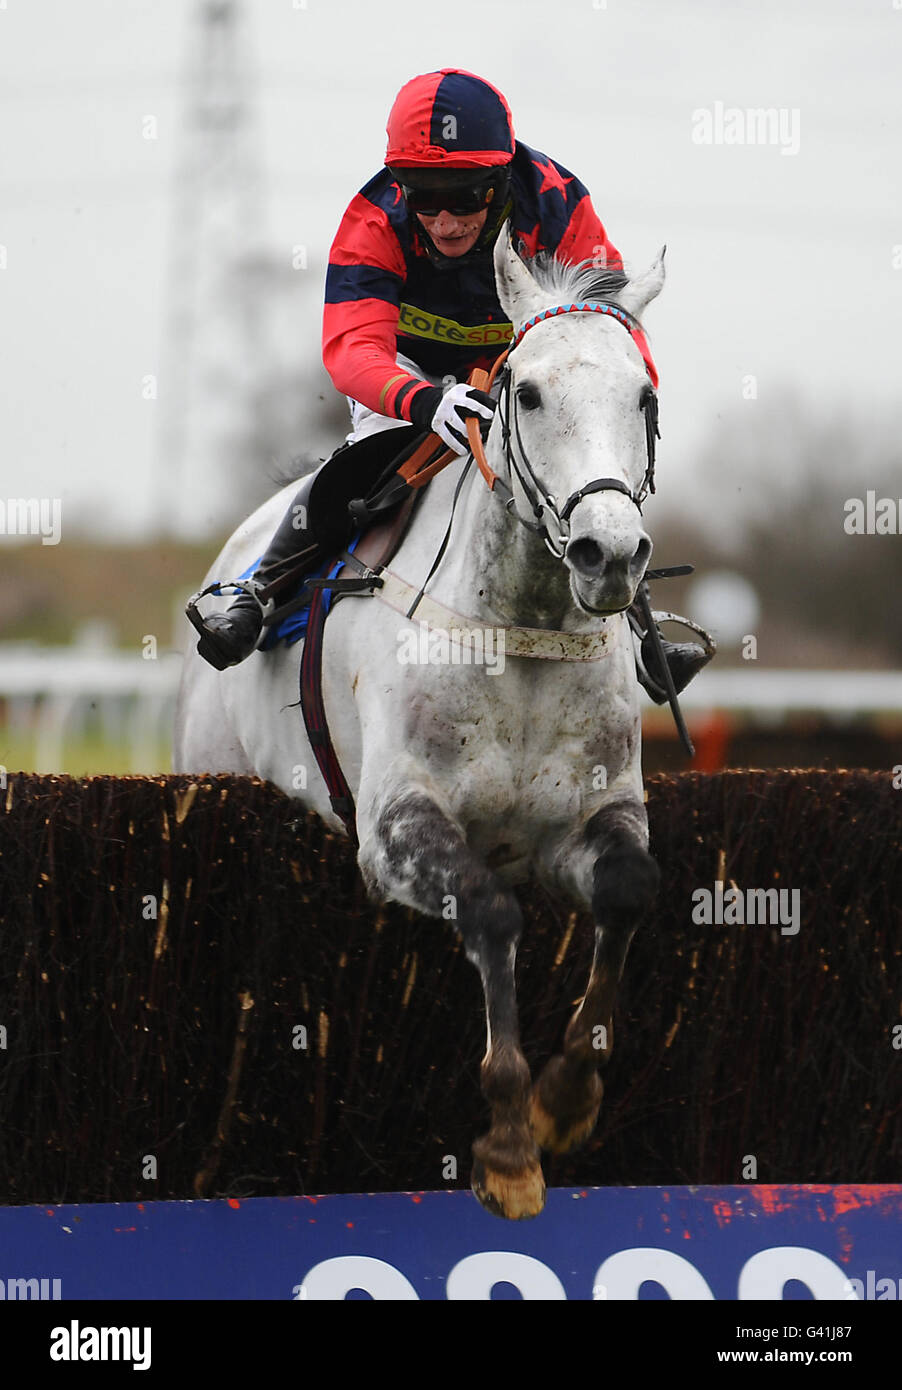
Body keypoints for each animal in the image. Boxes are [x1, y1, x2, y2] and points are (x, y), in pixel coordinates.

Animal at [173, 229, 666, 1221]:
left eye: (643, 395)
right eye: (528, 391)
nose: (609, 553)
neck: (518, 626)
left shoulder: (589, 822)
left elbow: (629, 890)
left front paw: (567, 1102)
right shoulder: (397, 827)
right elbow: (489, 909)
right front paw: (511, 1148)